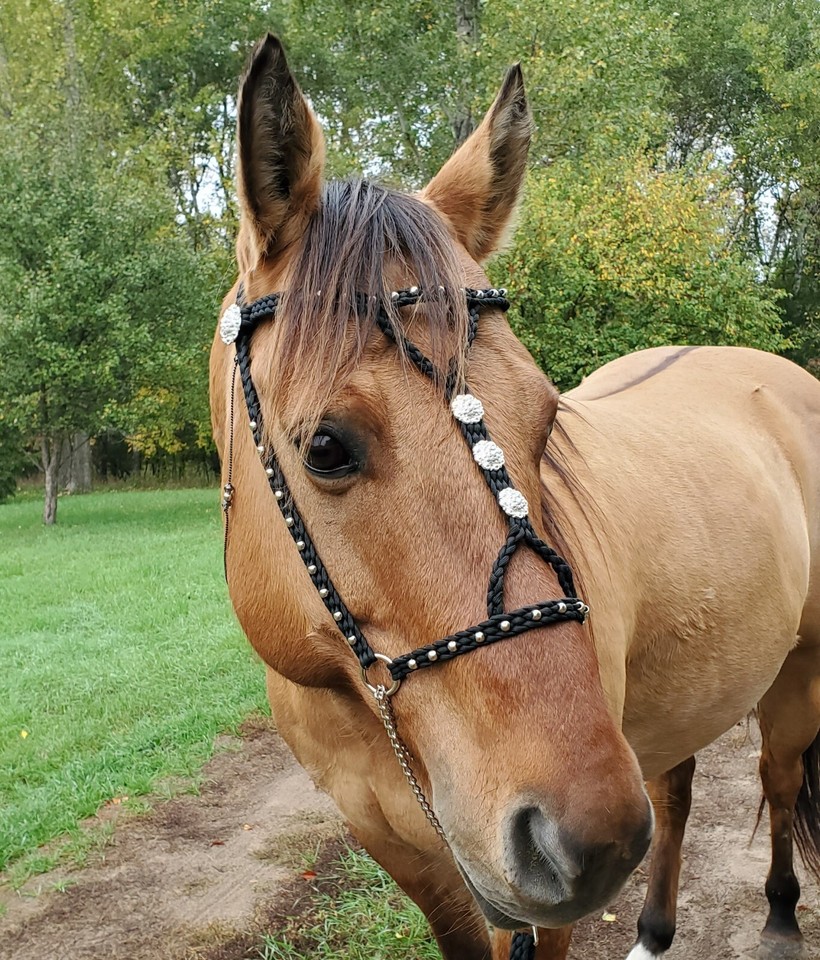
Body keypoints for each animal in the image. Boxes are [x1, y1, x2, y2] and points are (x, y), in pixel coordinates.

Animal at [209, 34, 820, 960]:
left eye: (546, 419)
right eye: (325, 447)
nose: (594, 838)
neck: (363, 712)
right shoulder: (416, 861)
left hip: (795, 680)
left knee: (777, 781)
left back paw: (782, 911)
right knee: (677, 789)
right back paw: (654, 930)